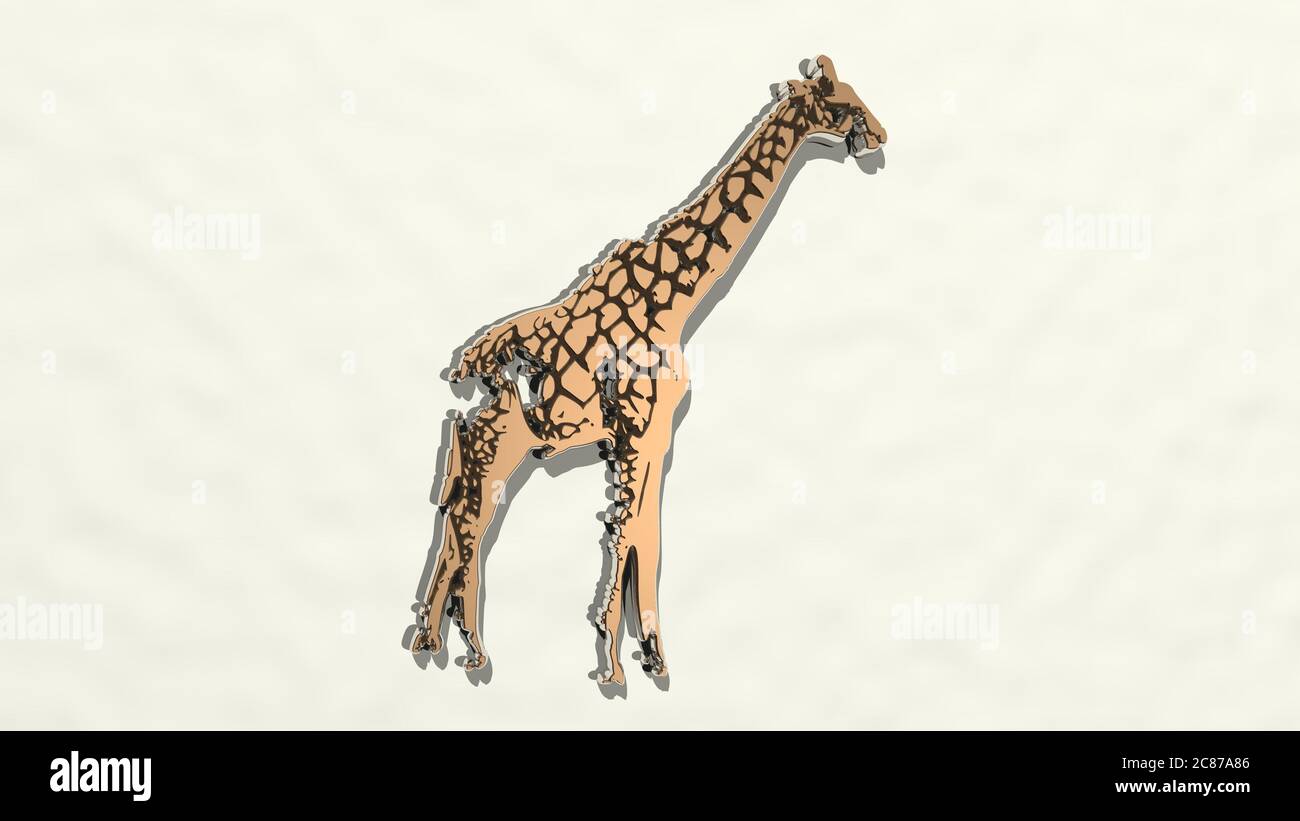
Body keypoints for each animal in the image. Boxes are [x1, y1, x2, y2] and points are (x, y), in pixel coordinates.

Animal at [410, 55, 886, 686]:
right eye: (844, 103)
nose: (880, 136)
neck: (678, 298)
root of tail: (467, 368)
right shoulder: (642, 427)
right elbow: (638, 531)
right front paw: (631, 662)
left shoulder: (641, 436)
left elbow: (634, 529)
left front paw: (632, 653)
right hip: (500, 440)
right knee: (472, 523)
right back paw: (472, 650)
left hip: (487, 439)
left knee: (457, 520)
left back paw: (431, 641)